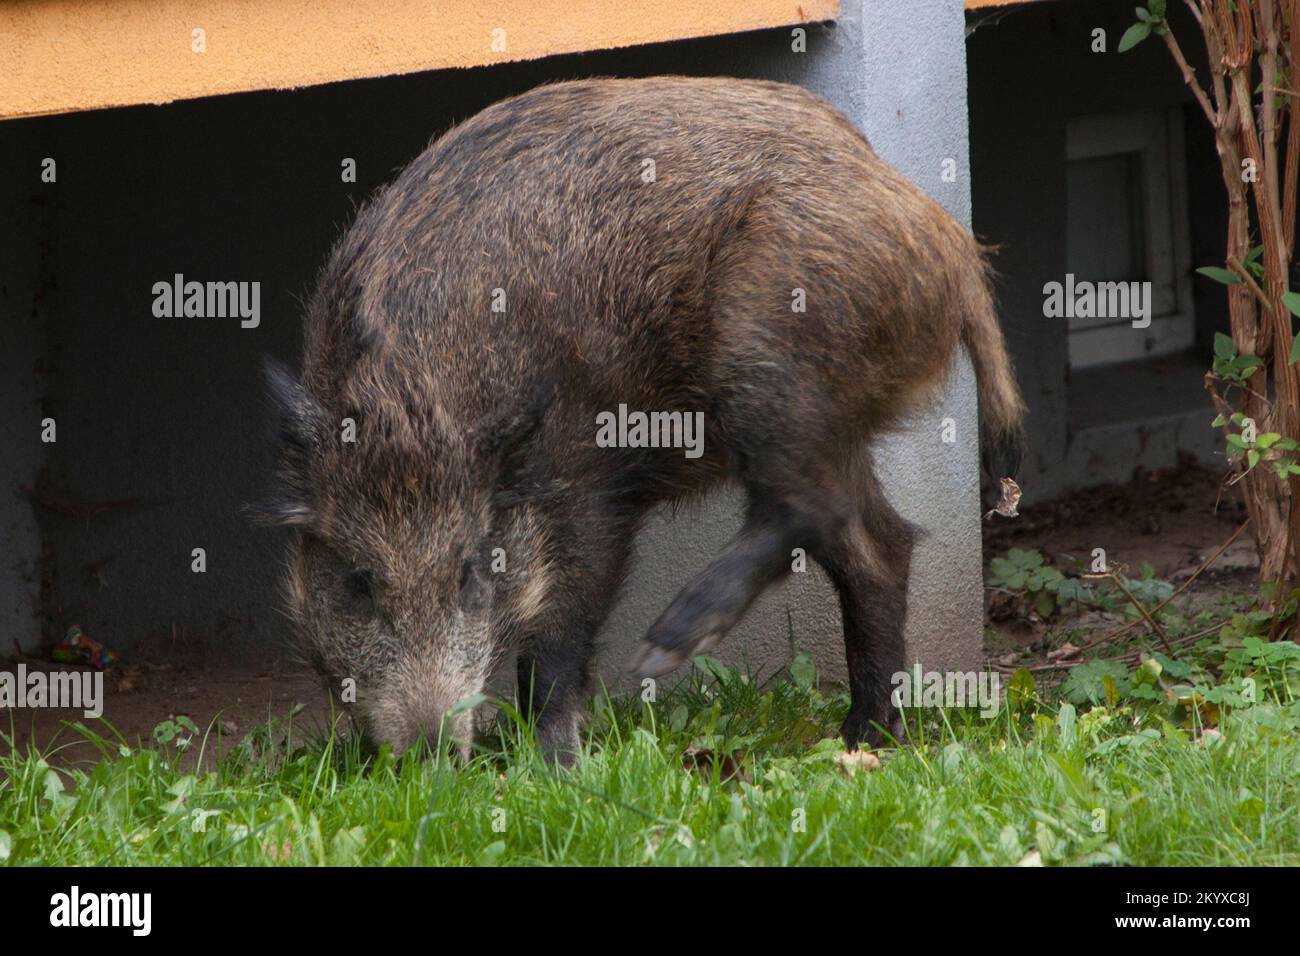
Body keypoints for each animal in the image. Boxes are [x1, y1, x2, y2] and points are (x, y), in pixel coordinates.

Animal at [258, 76, 1025, 763]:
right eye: (356, 581)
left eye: (472, 571)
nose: (428, 757)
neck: (420, 396)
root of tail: (955, 252)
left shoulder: (587, 483)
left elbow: (561, 631)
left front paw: (555, 767)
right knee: (880, 544)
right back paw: (863, 738)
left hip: (770, 354)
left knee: (817, 509)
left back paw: (668, 647)